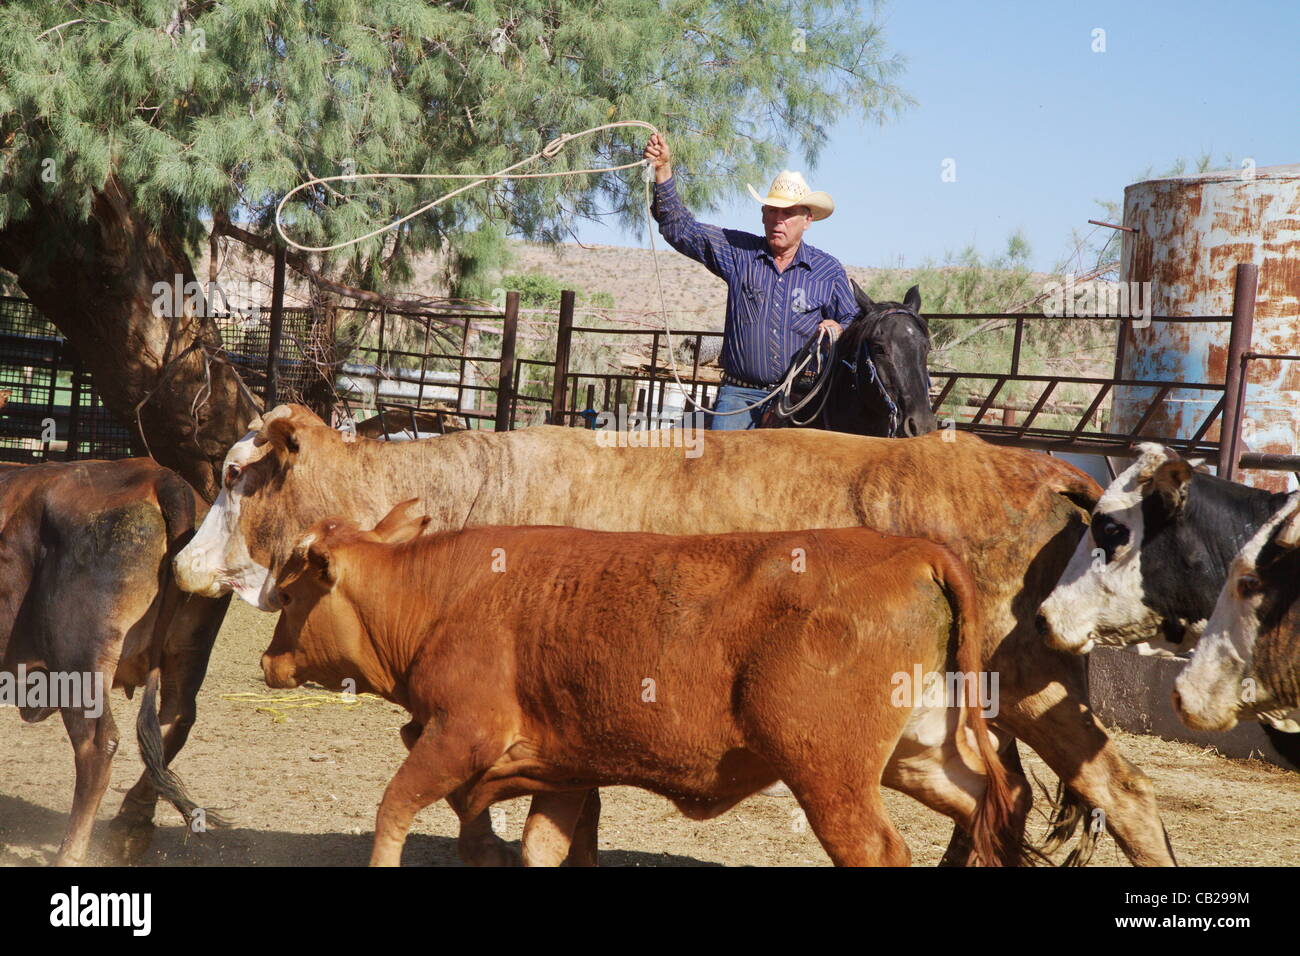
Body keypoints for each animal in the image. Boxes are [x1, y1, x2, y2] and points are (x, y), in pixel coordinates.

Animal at [0, 458, 231, 865]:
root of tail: (158, 475)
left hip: (78, 662)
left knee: (97, 745)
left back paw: (71, 852)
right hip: (187, 651)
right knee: (175, 720)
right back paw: (129, 826)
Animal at [262, 500, 1032, 867]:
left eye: (292, 591)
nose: (268, 662)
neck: (438, 597)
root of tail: (913, 551)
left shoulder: (460, 734)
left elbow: (396, 806)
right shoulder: (564, 768)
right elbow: (542, 845)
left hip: (830, 775)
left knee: (879, 849)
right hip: (922, 751)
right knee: (993, 804)